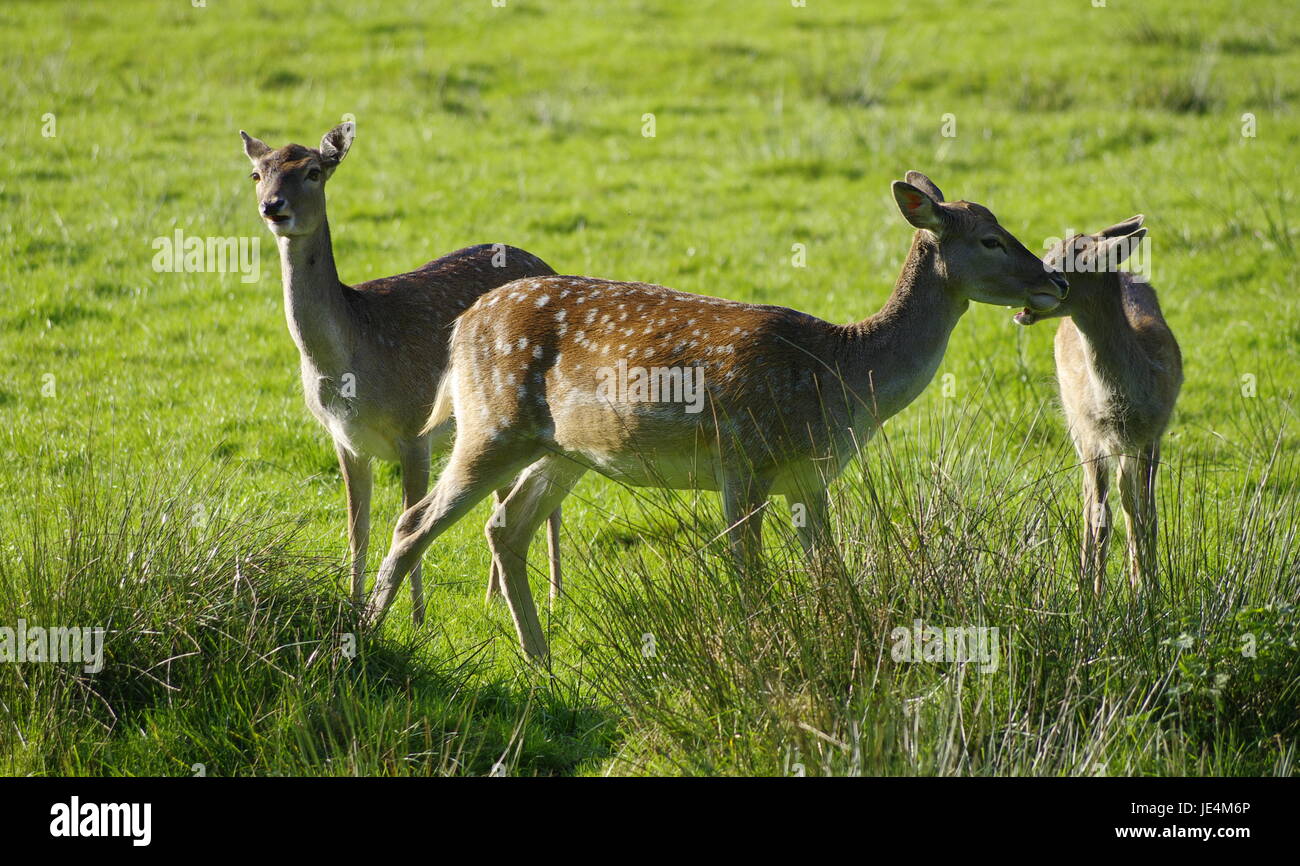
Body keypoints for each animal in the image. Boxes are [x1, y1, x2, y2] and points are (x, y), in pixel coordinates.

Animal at [240, 121, 563, 623]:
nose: (273, 206)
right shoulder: (345, 441)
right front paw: (352, 606)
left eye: (314, 171)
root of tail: (546, 264)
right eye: (258, 173)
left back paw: (554, 597)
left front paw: (415, 618)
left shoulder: (414, 433)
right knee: (504, 496)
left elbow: (407, 520)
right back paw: (491, 598)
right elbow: (358, 528)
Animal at [361, 171, 1069, 659]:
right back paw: (366, 634)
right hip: (492, 425)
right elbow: (748, 576)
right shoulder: (745, 459)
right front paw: (761, 661)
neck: (840, 377)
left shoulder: (809, 476)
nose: (1056, 281)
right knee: (414, 520)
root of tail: (459, 329)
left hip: (562, 450)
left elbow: (828, 571)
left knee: (505, 527)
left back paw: (540, 661)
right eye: (991, 240)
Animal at [1015, 216, 1181, 594]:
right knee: (1090, 498)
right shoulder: (1092, 433)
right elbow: (1101, 517)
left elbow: (1144, 512)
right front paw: (1094, 595)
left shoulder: (1152, 431)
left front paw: (1147, 589)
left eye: (1059, 264)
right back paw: (1084, 578)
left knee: (1129, 500)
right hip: (1076, 426)